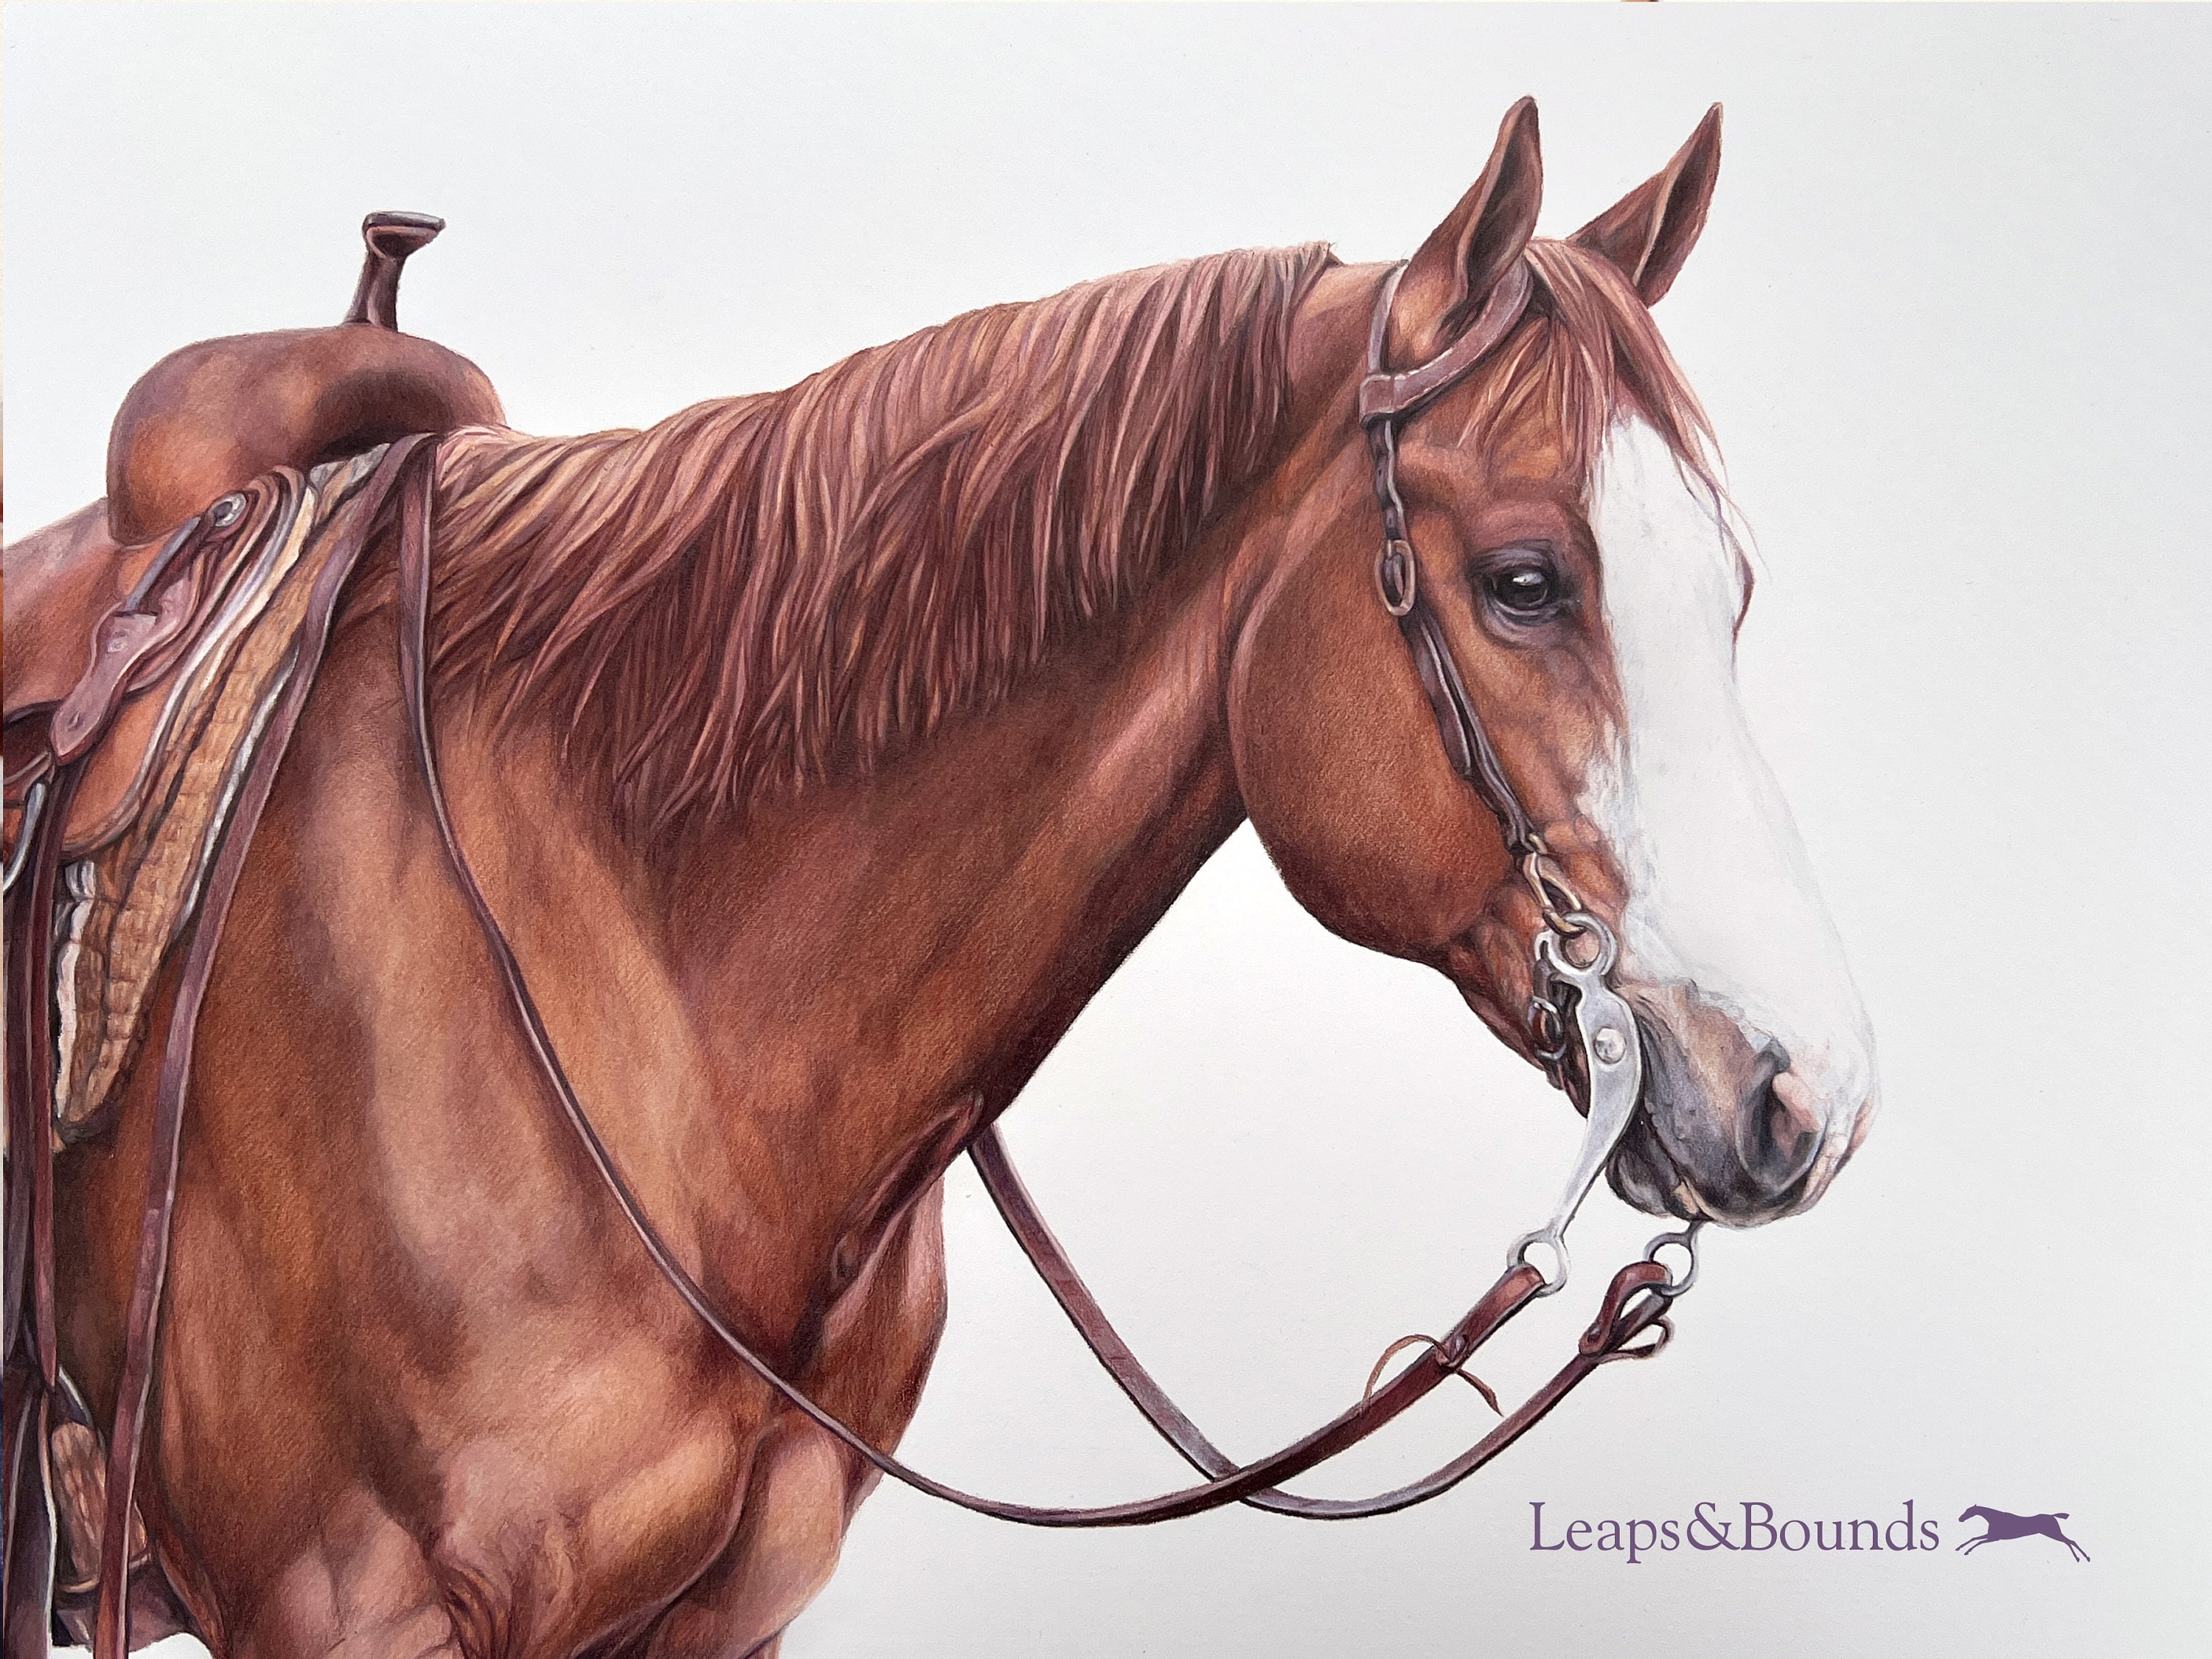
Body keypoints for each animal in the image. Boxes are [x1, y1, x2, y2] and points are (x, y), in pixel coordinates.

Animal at [1957, 1507, 2091, 1562]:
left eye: (1968, 1511)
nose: (1960, 1519)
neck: (1995, 1519)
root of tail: (2052, 1516)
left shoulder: (1995, 1538)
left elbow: (1979, 1541)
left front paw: (1966, 1551)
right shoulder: (1992, 1536)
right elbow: (1974, 1538)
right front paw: (1959, 1548)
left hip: (2053, 1533)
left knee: (2070, 1541)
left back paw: (2083, 1557)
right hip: (2053, 1533)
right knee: (2069, 1542)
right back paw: (2082, 1558)